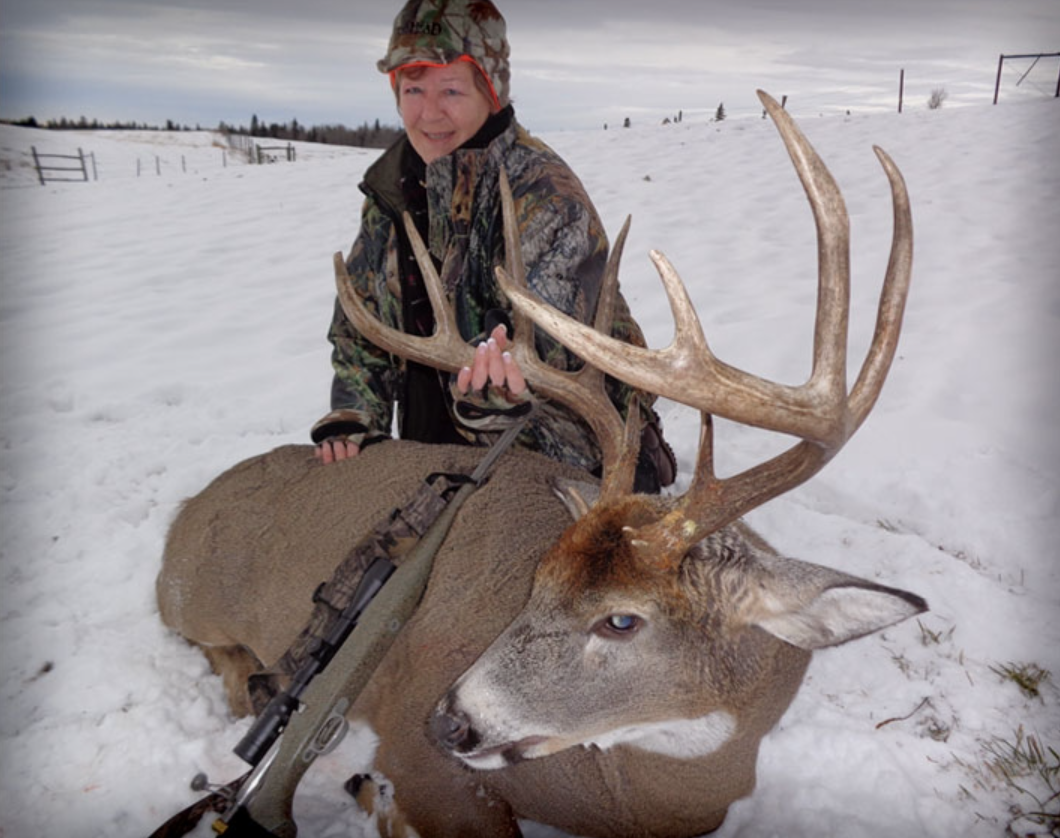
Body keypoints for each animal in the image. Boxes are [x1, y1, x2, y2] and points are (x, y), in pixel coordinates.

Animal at [156, 91, 921, 838]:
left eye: (622, 620)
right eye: (538, 579)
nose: (449, 720)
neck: (634, 795)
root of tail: (186, 512)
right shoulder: (415, 747)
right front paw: (374, 793)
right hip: (193, 600)